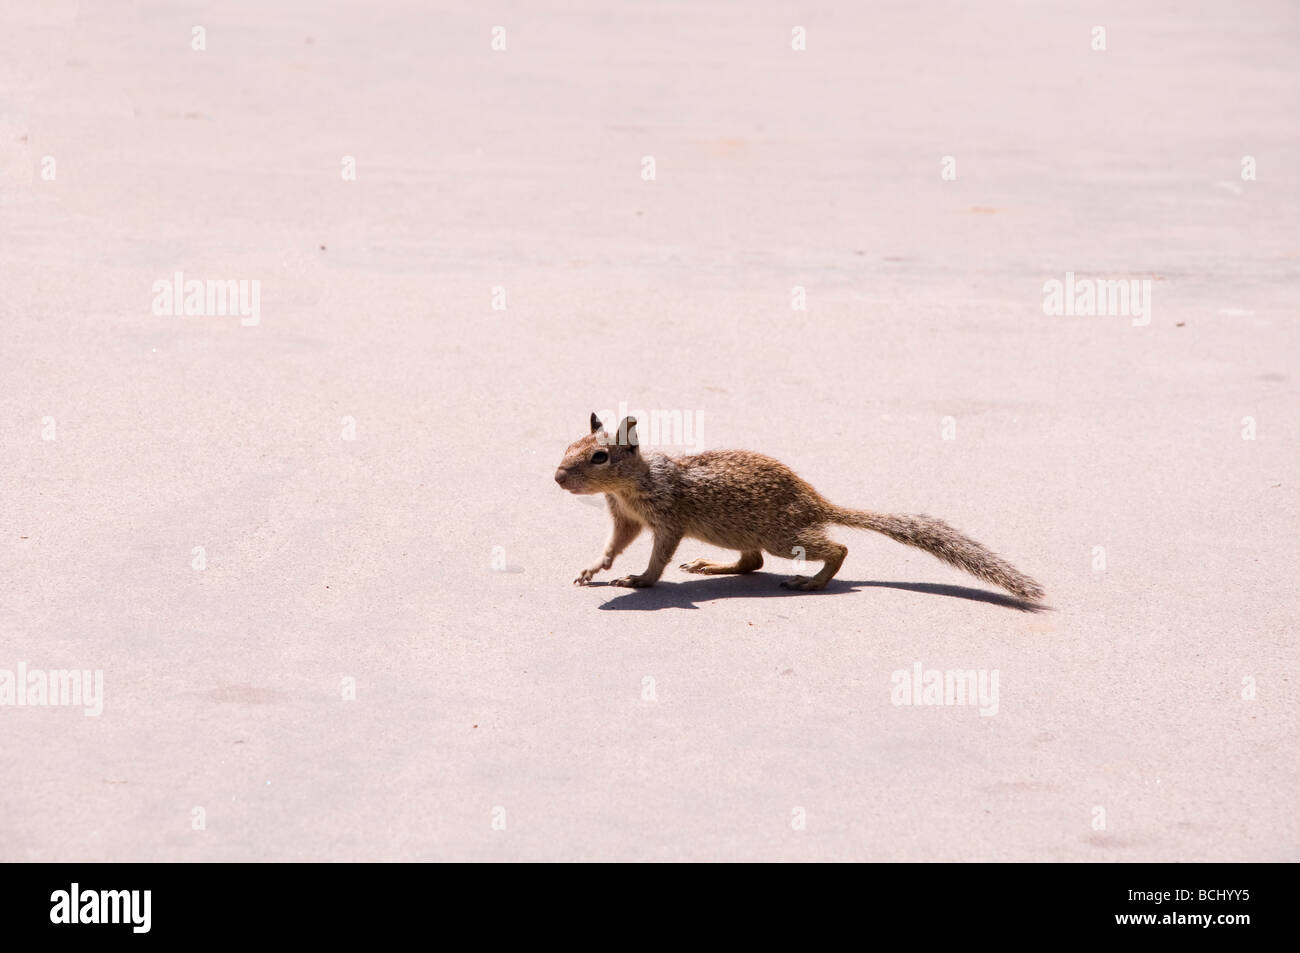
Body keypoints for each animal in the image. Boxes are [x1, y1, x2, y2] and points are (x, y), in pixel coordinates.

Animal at [555, 413, 1044, 602]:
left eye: (600, 457)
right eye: (569, 445)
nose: (557, 477)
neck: (629, 486)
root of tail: (817, 503)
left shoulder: (666, 519)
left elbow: (659, 555)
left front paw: (641, 579)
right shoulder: (625, 518)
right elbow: (614, 545)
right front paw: (594, 567)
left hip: (782, 535)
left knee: (837, 550)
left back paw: (812, 582)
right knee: (750, 563)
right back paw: (712, 565)